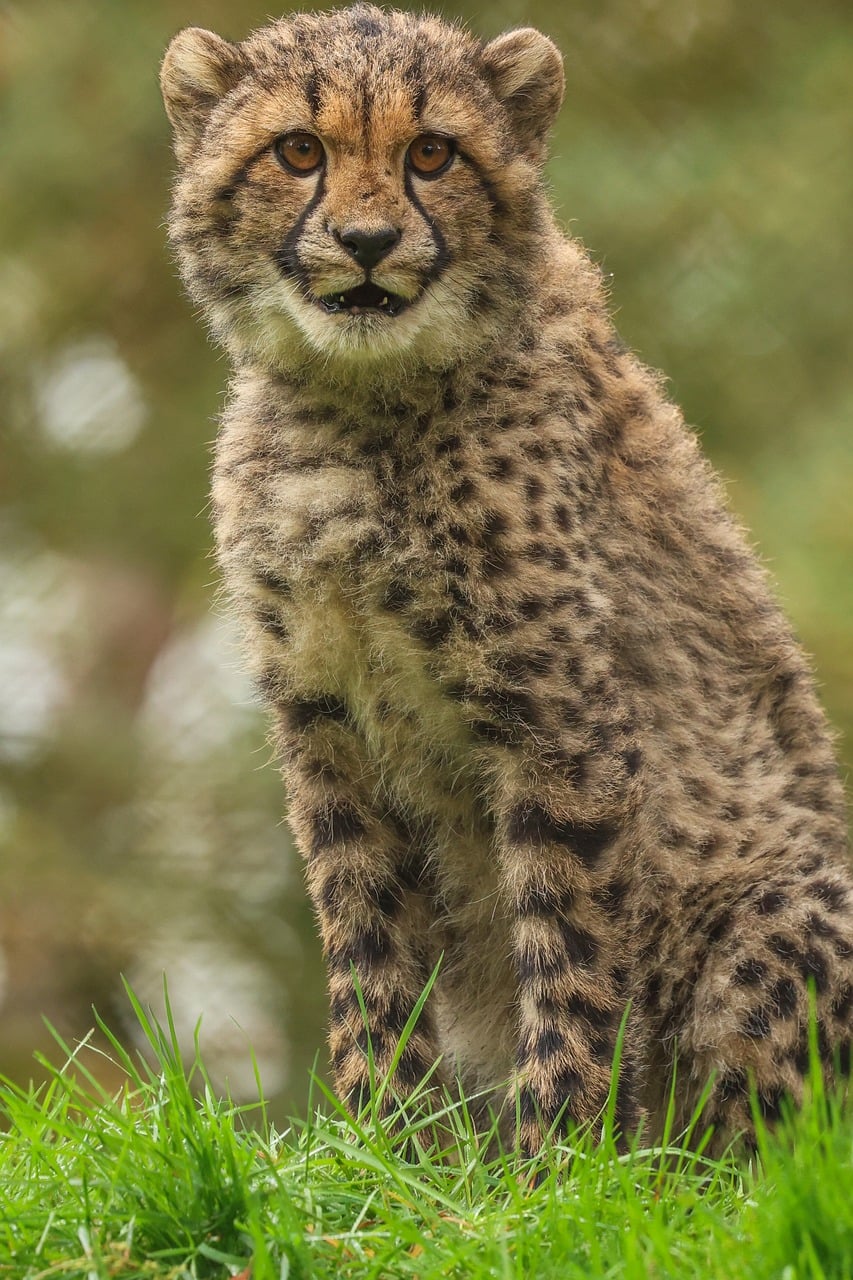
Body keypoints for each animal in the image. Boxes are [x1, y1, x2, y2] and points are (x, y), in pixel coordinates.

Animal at [160, 3, 852, 1156]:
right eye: (298, 152)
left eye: (432, 155)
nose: (366, 242)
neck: (359, 401)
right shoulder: (325, 717)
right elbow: (367, 940)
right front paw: (385, 1148)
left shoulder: (560, 719)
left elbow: (568, 950)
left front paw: (555, 1159)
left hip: (779, 913)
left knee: (764, 1153)